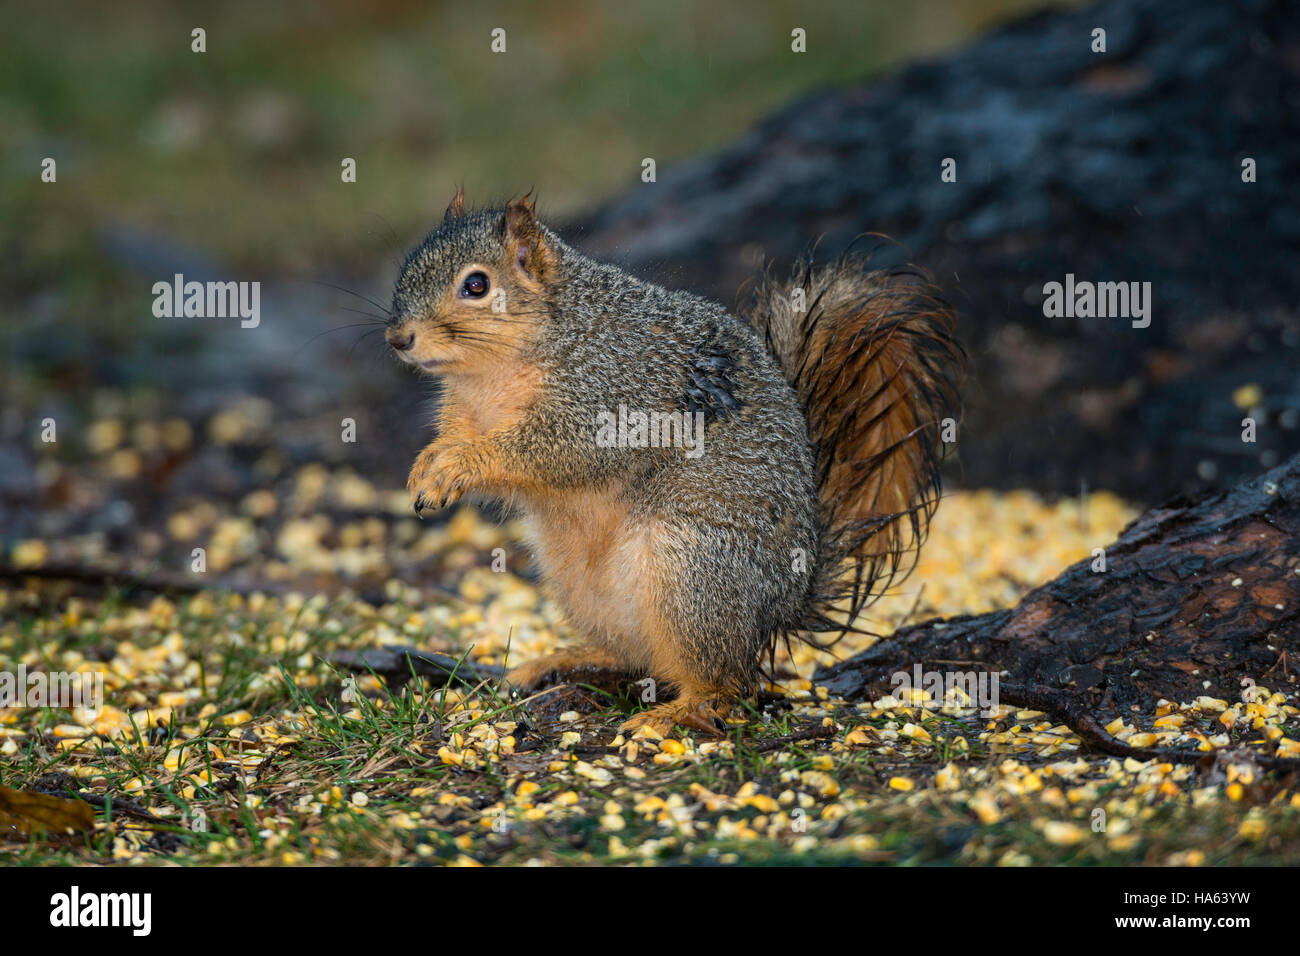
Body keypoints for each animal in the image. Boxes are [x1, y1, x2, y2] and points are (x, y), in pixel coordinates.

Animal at [385, 188, 963, 737]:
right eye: (408, 264)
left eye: (476, 286)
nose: (398, 338)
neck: (492, 373)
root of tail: (782, 605)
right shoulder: (464, 410)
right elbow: (454, 438)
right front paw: (427, 465)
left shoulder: (609, 397)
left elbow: (553, 451)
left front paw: (458, 466)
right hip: (580, 584)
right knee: (637, 656)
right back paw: (566, 661)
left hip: (691, 568)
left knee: (727, 683)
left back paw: (675, 714)